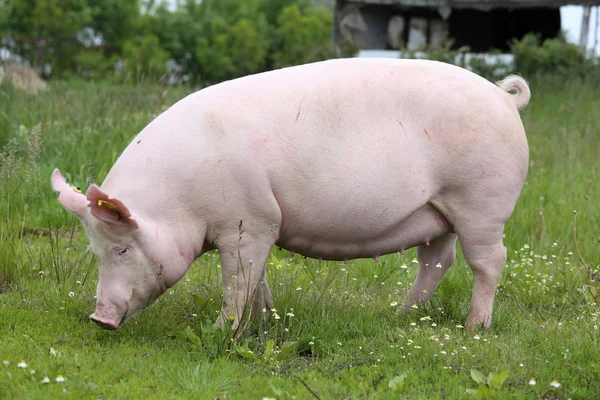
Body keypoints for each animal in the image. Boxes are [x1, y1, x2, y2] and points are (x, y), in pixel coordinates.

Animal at [51, 57, 528, 332]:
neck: (181, 199)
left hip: (482, 202)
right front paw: (264, 321)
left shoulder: (249, 220)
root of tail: (504, 99)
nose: (99, 318)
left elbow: (237, 282)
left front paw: (218, 332)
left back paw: (474, 328)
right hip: (439, 209)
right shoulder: (261, 223)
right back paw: (396, 317)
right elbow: (257, 278)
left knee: (488, 261)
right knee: (437, 261)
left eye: (123, 249)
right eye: (96, 250)